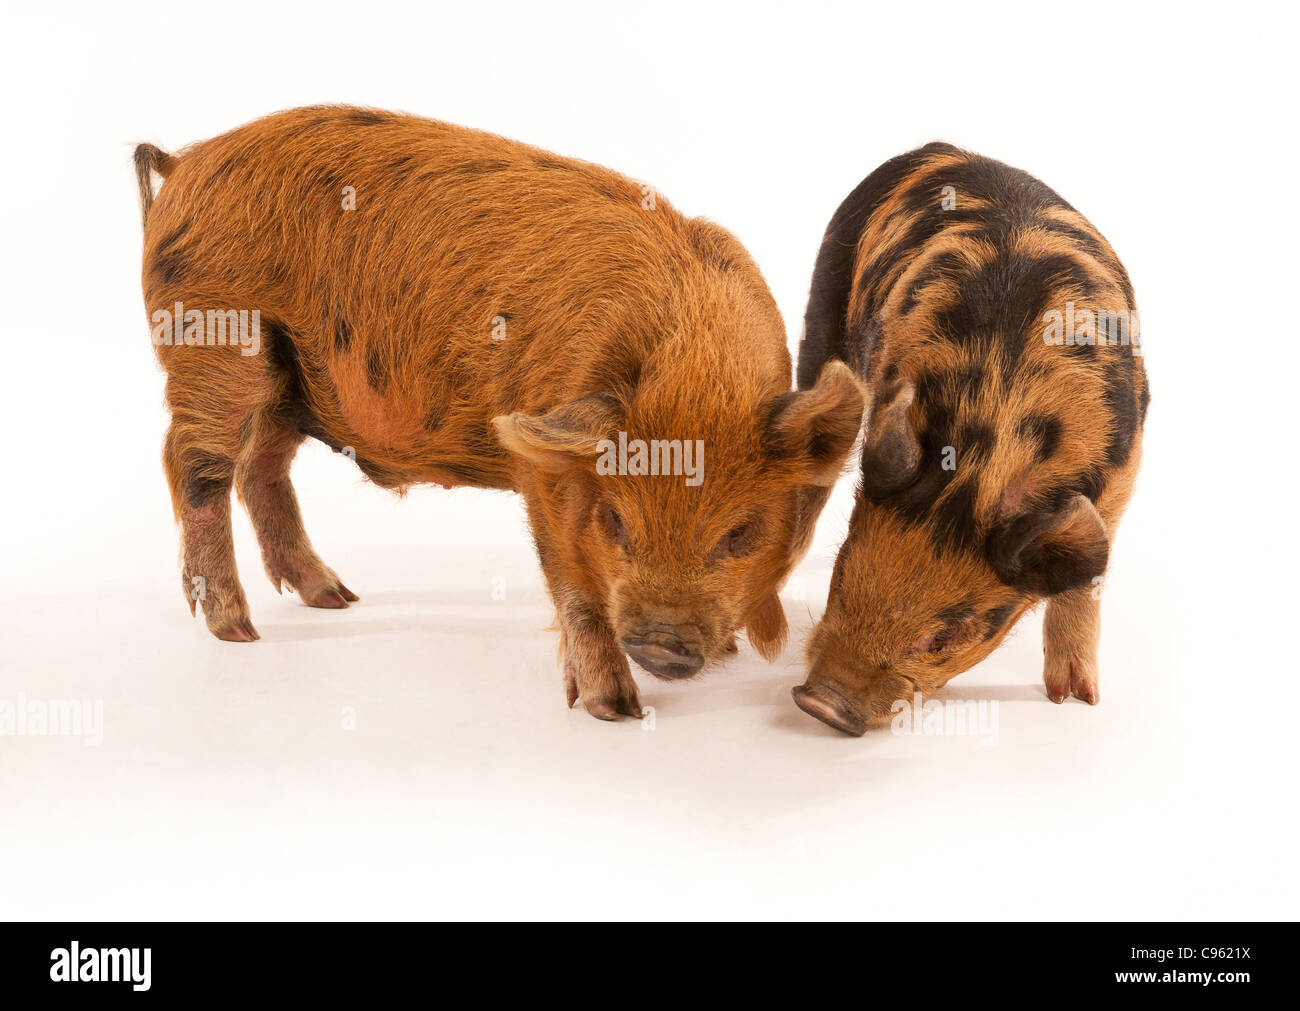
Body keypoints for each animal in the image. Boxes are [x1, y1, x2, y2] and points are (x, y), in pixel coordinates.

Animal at [133, 106, 864, 721]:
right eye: (616, 520)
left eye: (741, 532)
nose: (660, 643)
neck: (695, 368)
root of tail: (183, 166)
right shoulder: (543, 460)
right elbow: (571, 579)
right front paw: (613, 710)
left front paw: (730, 655)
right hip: (214, 341)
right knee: (195, 465)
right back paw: (239, 629)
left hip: (287, 378)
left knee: (261, 465)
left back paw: (333, 596)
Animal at [792, 142, 1148, 735]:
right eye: (843, 574)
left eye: (945, 636)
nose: (819, 704)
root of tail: (942, 147)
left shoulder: (1121, 478)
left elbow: (1085, 577)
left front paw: (1075, 702)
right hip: (824, 307)